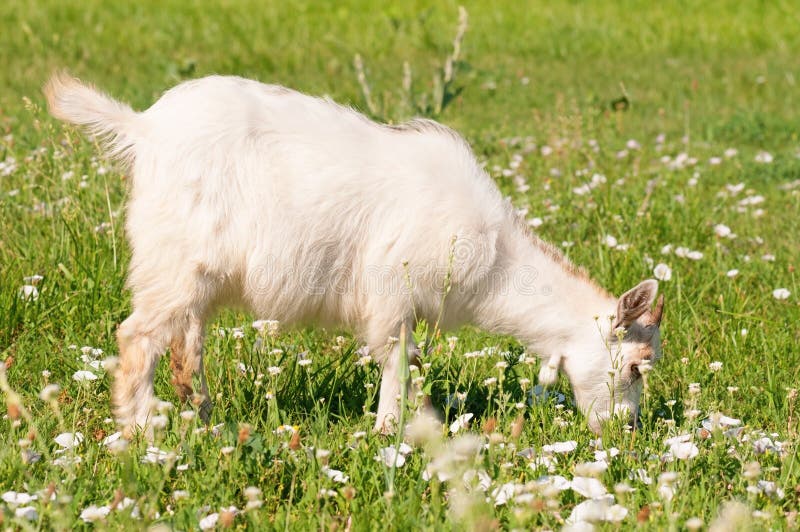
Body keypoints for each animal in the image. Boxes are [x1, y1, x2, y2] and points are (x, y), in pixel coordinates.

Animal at [45, 73, 664, 435]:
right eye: (637, 364)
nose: (628, 433)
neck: (495, 262)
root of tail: (143, 128)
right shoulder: (393, 293)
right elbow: (396, 362)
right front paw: (390, 436)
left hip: (193, 275)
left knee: (185, 347)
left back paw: (208, 421)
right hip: (171, 257)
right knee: (137, 337)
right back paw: (140, 432)